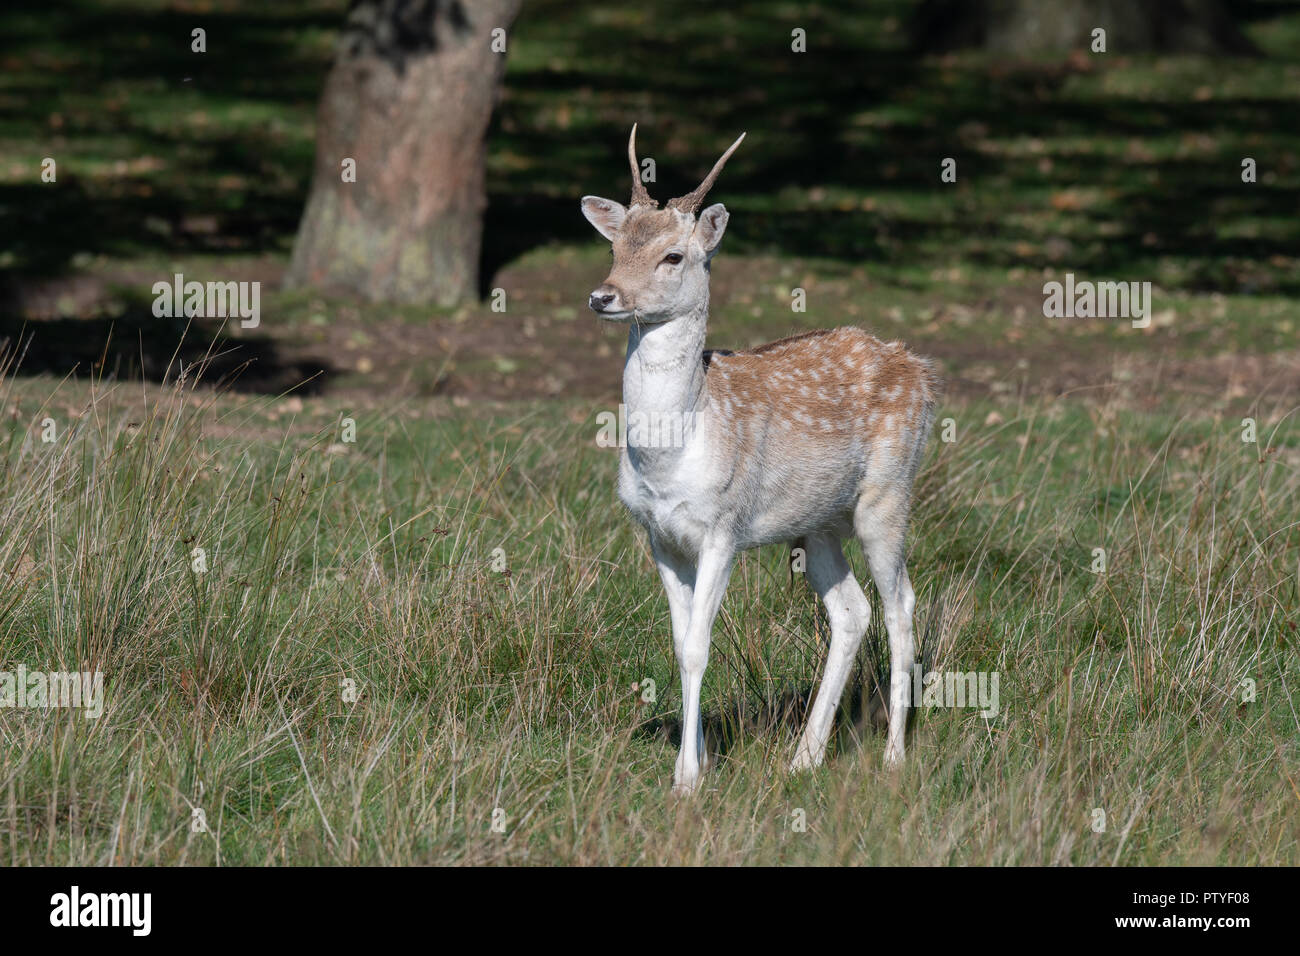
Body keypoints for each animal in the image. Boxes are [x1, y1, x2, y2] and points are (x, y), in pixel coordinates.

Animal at [581, 126, 940, 795]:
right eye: (615, 245)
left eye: (673, 256)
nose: (602, 295)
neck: (672, 452)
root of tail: (921, 370)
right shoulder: (658, 535)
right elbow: (680, 642)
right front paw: (694, 759)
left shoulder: (724, 525)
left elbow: (699, 646)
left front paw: (687, 781)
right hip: (816, 523)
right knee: (851, 612)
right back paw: (805, 757)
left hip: (889, 492)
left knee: (902, 607)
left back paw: (894, 759)